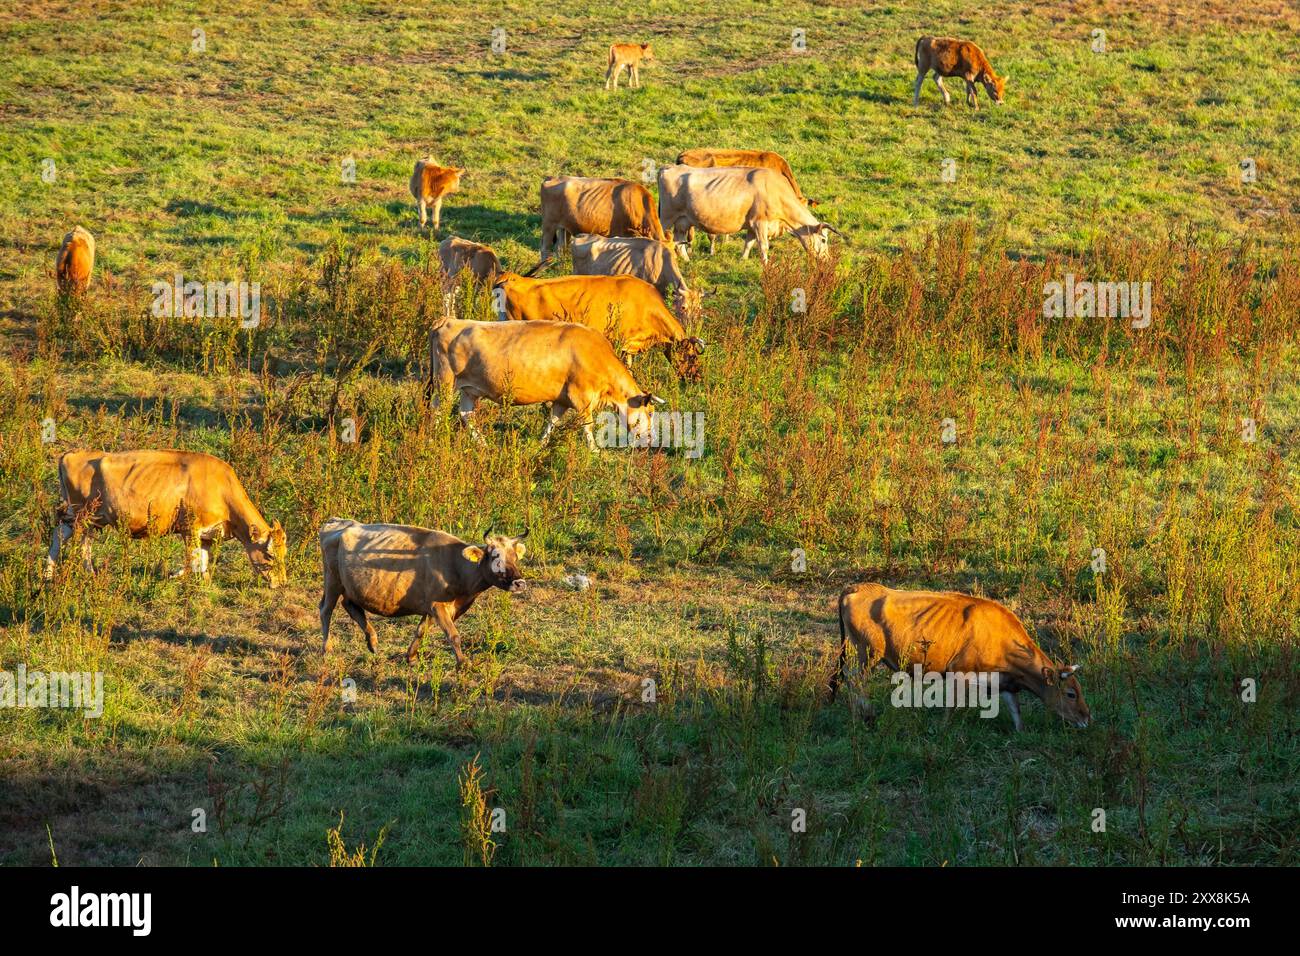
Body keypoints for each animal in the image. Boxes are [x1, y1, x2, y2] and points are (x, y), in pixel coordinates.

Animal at [46, 449, 287, 587]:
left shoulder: (207, 535)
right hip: (83, 514)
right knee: (79, 542)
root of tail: (72, 455)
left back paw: (50, 574)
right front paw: (176, 576)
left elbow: (203, 558)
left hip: (81, 516)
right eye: (270, 555)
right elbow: (193, 559)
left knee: (60, 535)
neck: (221, 487)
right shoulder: (190, 528)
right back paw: (85, 572)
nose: (282, 582)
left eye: (284, 554)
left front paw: (205, 580)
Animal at [319, 519, 528, 665]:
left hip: (349, 586)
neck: (456, 565)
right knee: (326, 609)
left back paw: (373, 642)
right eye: (495, 557)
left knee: (350, 605)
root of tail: (339, 522)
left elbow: (420, 631)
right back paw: (327, 649)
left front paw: (411, 657)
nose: (520, 583)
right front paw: (463, 663)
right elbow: (453, 635)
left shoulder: (432, 606)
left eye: (515, 557)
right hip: (332, 580)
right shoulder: (437, 605)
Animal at [426, 316, 663, 448]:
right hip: (445, 382)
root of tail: (449, 320)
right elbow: (587, 425)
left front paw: (540, 444)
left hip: (469, 389)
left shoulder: (562, 399)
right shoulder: (581, 397)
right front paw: (595, 449)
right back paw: (432, 438)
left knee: (466, 414)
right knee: (438, 409)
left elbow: (552, 422)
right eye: (650, 413)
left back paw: (483, 444)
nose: (651, 439)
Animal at [656, 164, 843, 264]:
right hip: (666, 218)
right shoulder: (760, 223)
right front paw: (766, 264)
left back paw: (686, 260)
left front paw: (743, 260)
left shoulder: (752, 225)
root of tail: (669, 167)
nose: (827, 259)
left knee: (678, 242)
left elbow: (748, 243)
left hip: (682, 221)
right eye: (824, 240)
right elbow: (763, 246)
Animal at [830, 583, 1089, 731]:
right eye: (1070, 693)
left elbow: (1015, 709)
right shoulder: (959, 673)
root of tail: (858, 587)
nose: (1087, 717)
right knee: (855, 680)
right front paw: (943, 731)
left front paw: (1021, 733)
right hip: (868, 652)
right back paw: (866, 717)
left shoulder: (1004, 680)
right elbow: (952, 705)